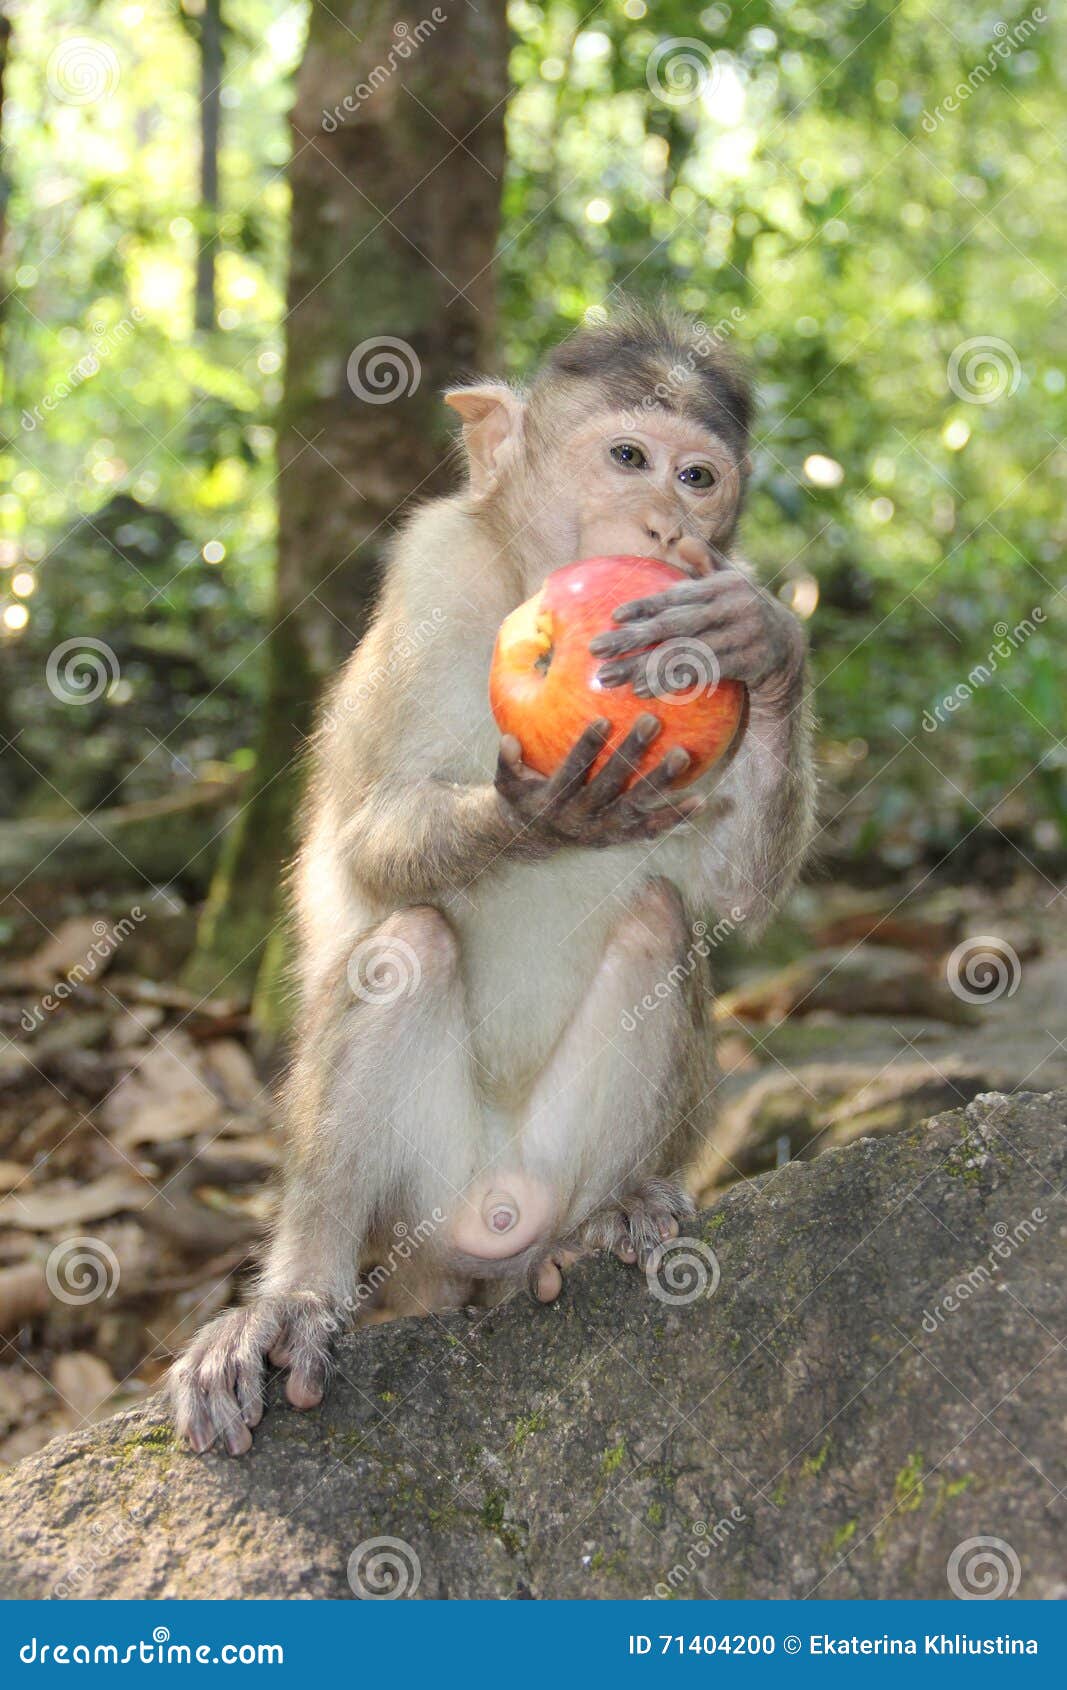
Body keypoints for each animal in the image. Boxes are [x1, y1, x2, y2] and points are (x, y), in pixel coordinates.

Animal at [169, 301, 814, 1455]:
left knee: (656, 923)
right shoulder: (435, 568)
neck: (523, 577)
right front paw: (538, 812)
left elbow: (729, 893)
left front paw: (769, 641)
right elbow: (370, 841)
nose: (664, 528)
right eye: (627, 458)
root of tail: (491, 1219)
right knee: (405, 946)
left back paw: (606, 1223)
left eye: (697, 478)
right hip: (422, 1190)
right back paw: (297, 1297)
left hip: (548, 1166)